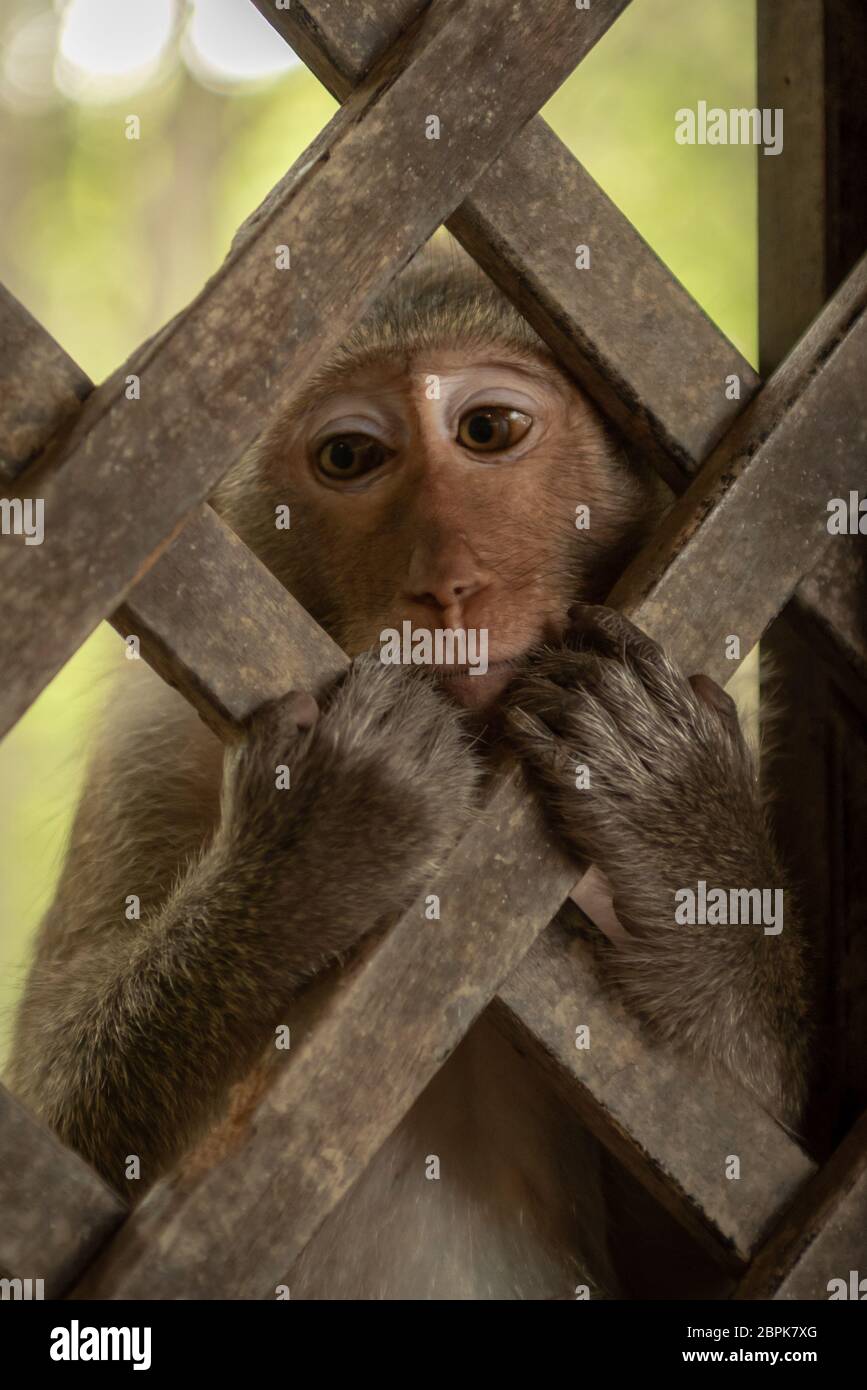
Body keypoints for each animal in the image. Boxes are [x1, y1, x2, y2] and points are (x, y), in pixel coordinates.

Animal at [6, 237, 811, 1300]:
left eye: (488, 430)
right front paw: (312, 854)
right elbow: (56, 1129)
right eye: (350, 457)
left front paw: (684, 821)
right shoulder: (147, 747)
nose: (448, 582)